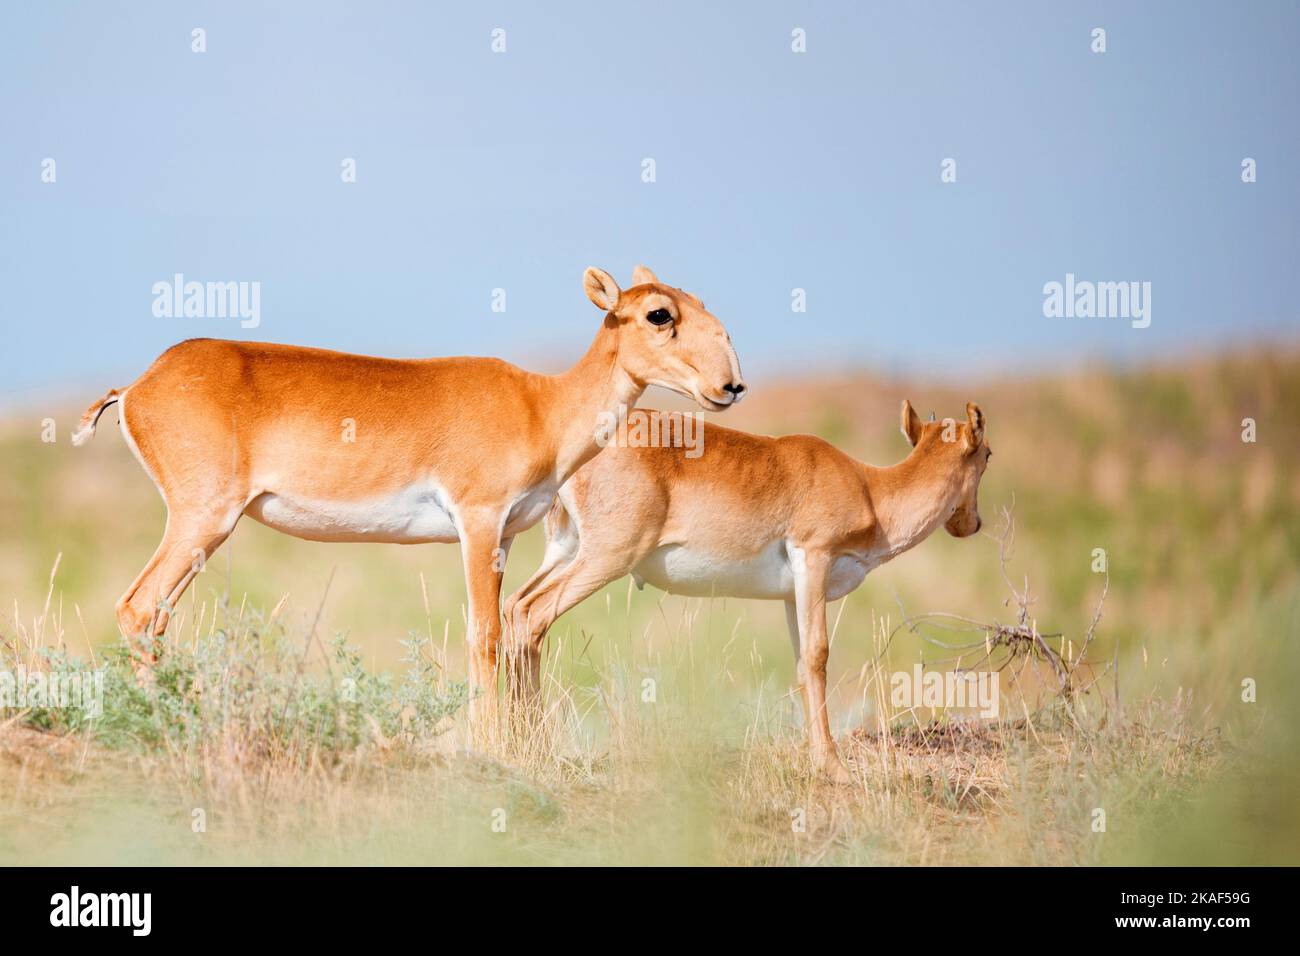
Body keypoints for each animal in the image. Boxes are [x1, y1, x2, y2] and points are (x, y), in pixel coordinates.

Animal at [71, 265, 745, 734]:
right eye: (658, 313)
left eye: (700, 306)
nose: (729, 386)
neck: (542, 405)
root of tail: (138, 385)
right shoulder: (478, 525)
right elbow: (485, 633)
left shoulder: (504, 537)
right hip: (203, 521)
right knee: (139, 608)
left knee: (154, 614)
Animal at [503, 400, 991, 781]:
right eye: (987, 452)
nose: (971, 524)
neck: (868, 487)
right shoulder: (813, 560)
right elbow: (818, 657)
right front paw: (833, 765)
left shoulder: (793, 595)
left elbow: (801, 664)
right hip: (605, 559)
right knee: (533, 614)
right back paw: (537, 746)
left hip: (565, 552)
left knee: (513, 607)